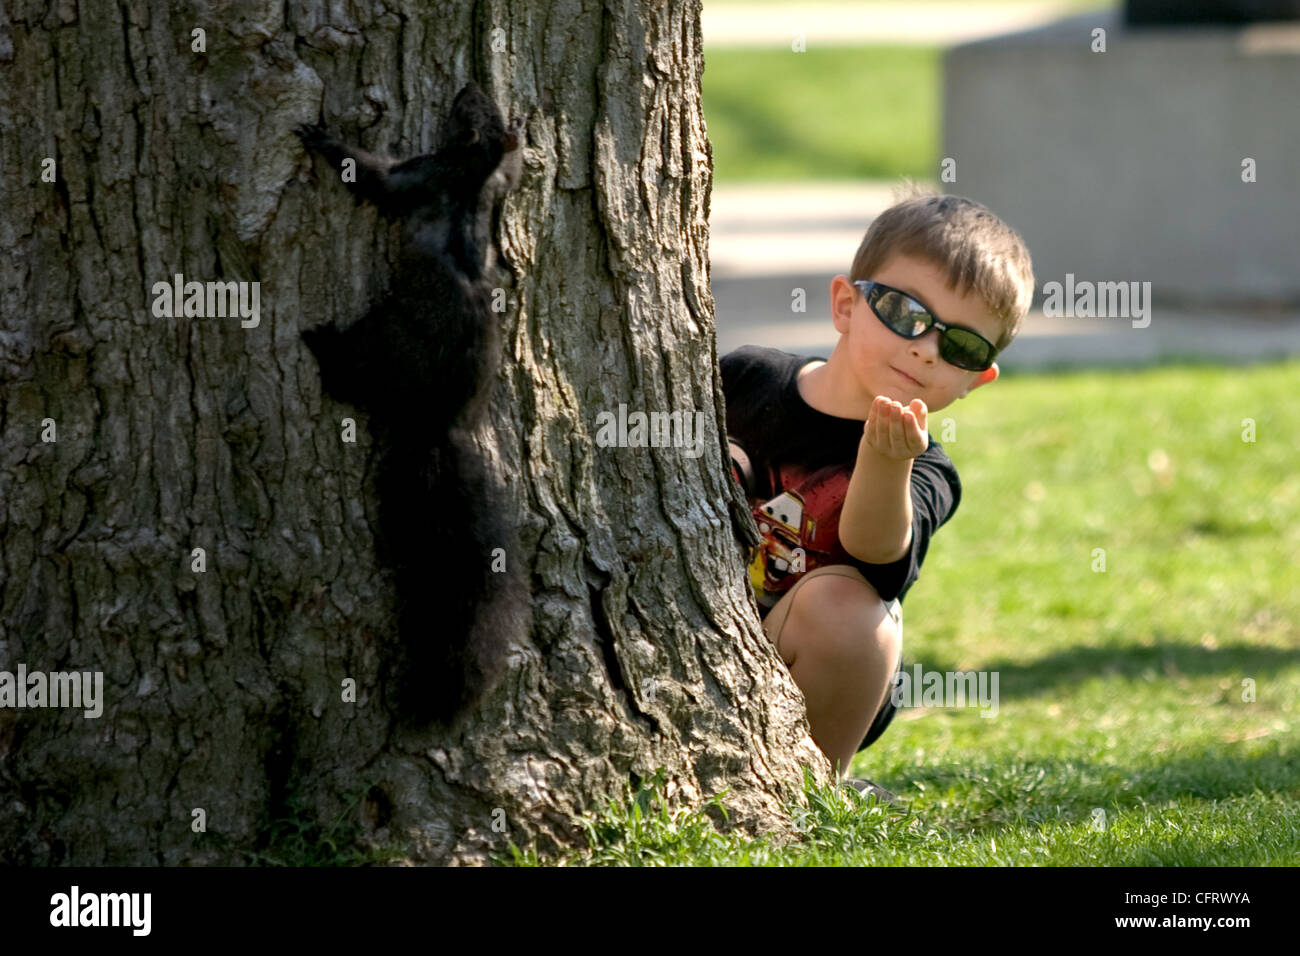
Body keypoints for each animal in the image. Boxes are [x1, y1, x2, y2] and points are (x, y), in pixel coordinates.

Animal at [295, 82, 530, 730]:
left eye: (467, 111)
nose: (468, 85)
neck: (476, 168)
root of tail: (440, 423)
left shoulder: (424, 174)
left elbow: (376, 177)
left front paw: (324, 140)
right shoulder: (490, 179)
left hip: (384, 340)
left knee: (355, 370)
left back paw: (321, 344)